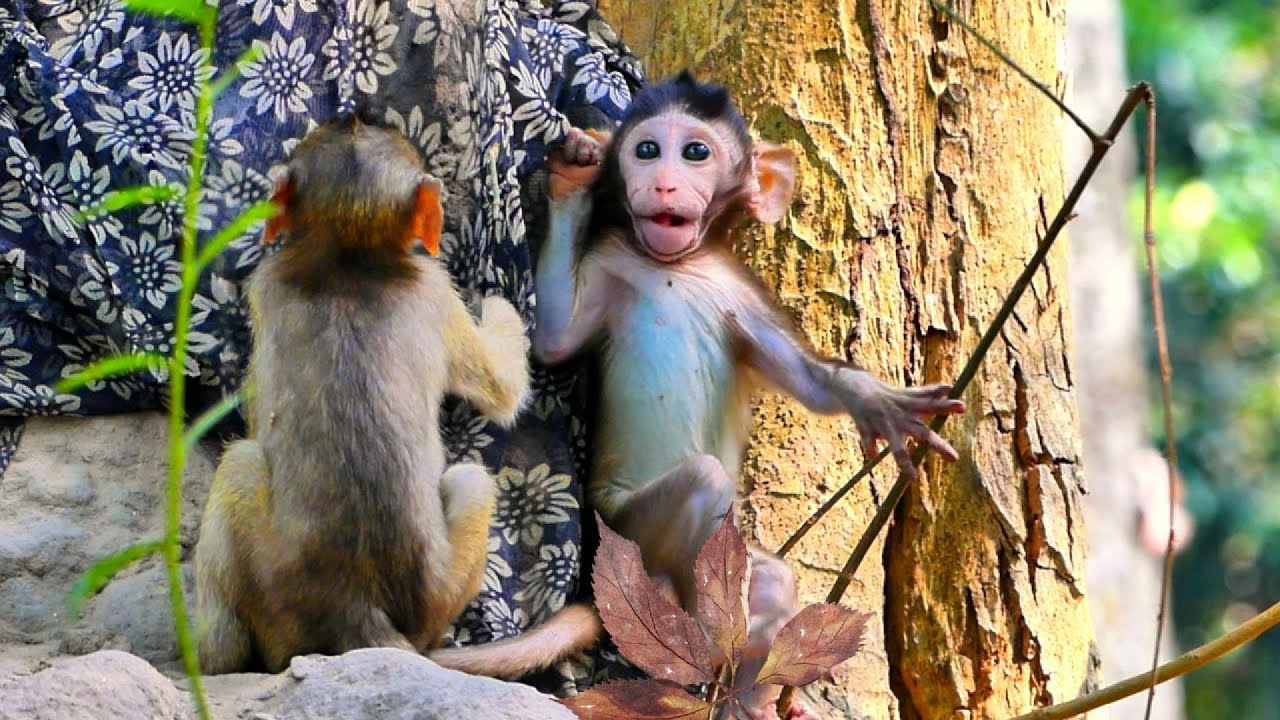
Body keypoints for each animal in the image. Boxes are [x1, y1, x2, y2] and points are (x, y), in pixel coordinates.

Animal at [193, 116, 599, 679]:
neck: (350, 249)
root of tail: (359, 609)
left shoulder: (285, 280)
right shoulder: (426, 285)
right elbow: (502, 388)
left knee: (245, 463)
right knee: (470, 481)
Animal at [534, 72, 967, 717]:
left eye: (694, 152)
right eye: (645, 149)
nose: (663, 181)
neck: (678, 266)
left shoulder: (741, 297)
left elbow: (812, 383)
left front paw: (880, 403)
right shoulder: (612, 260)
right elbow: (554, 340)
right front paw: (571, 173)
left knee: (770, 585)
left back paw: (753, 692)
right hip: (619, 520)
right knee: (703, 483)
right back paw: (681, 616)